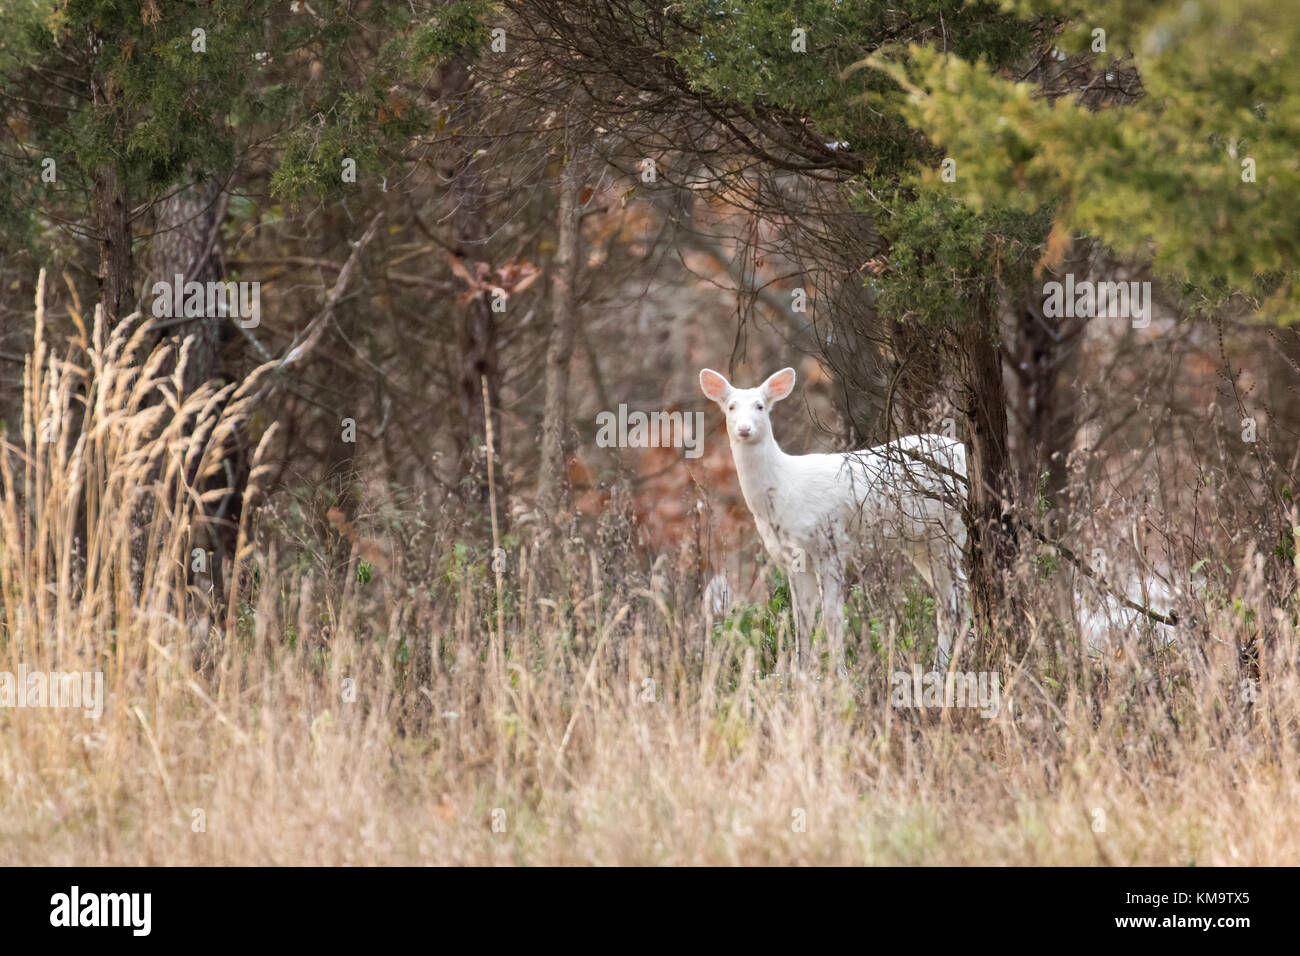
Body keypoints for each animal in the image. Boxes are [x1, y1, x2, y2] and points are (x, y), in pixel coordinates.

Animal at [699, 366, 970, 674]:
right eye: (731, 406)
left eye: (760, 406)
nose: (744, 429)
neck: (785, 486)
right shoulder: (792, 558)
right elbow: (801, 619)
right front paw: (800, 673)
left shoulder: (831, 544)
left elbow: (832, 617)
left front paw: (839, 674)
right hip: (920, 544)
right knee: (960, 590)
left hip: (948, 530)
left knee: (949, 602)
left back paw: (940, 668)